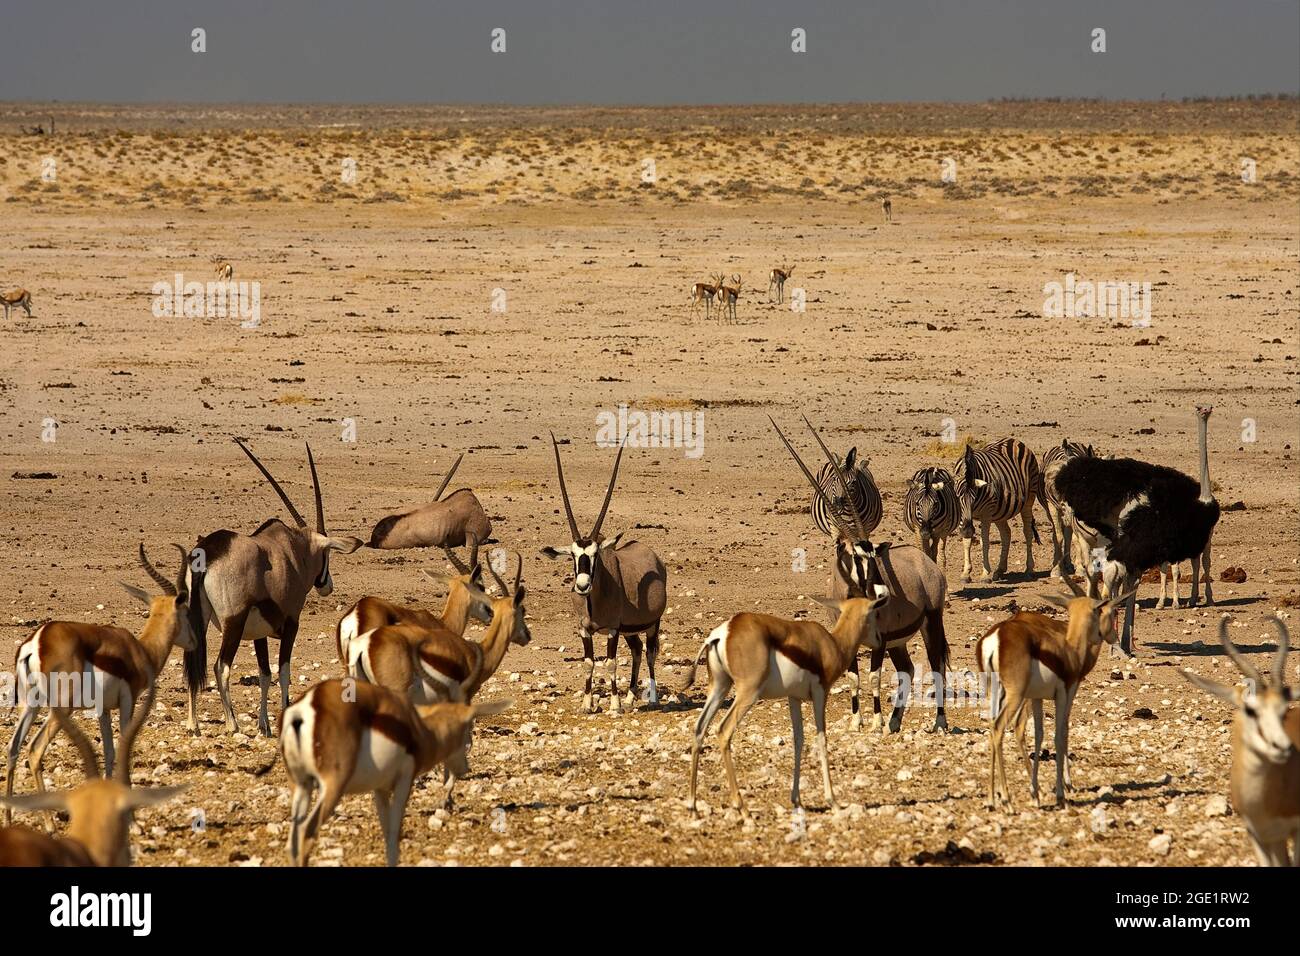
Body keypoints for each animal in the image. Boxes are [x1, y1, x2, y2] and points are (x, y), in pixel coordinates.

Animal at [952, 437, 1054, 584]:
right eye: (957, 496)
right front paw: (966, 573)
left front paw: (985, 574)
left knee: (1027, 532)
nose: (967, 530)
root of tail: (1015, 441)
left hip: (1028, 499)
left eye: (974, 496)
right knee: (1006, 533)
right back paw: (1000, 570)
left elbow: (985, 540)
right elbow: (966, 541)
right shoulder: (964, 515)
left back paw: (1029, 569)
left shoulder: (986, 513)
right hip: (1000, 511)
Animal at [1041, 439, 1095, 576]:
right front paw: (1057, 568)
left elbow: (1073, 537)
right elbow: (1060, 537)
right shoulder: (1053, 507)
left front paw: (1078, 568)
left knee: (1069, 535)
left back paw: (1068, 564)